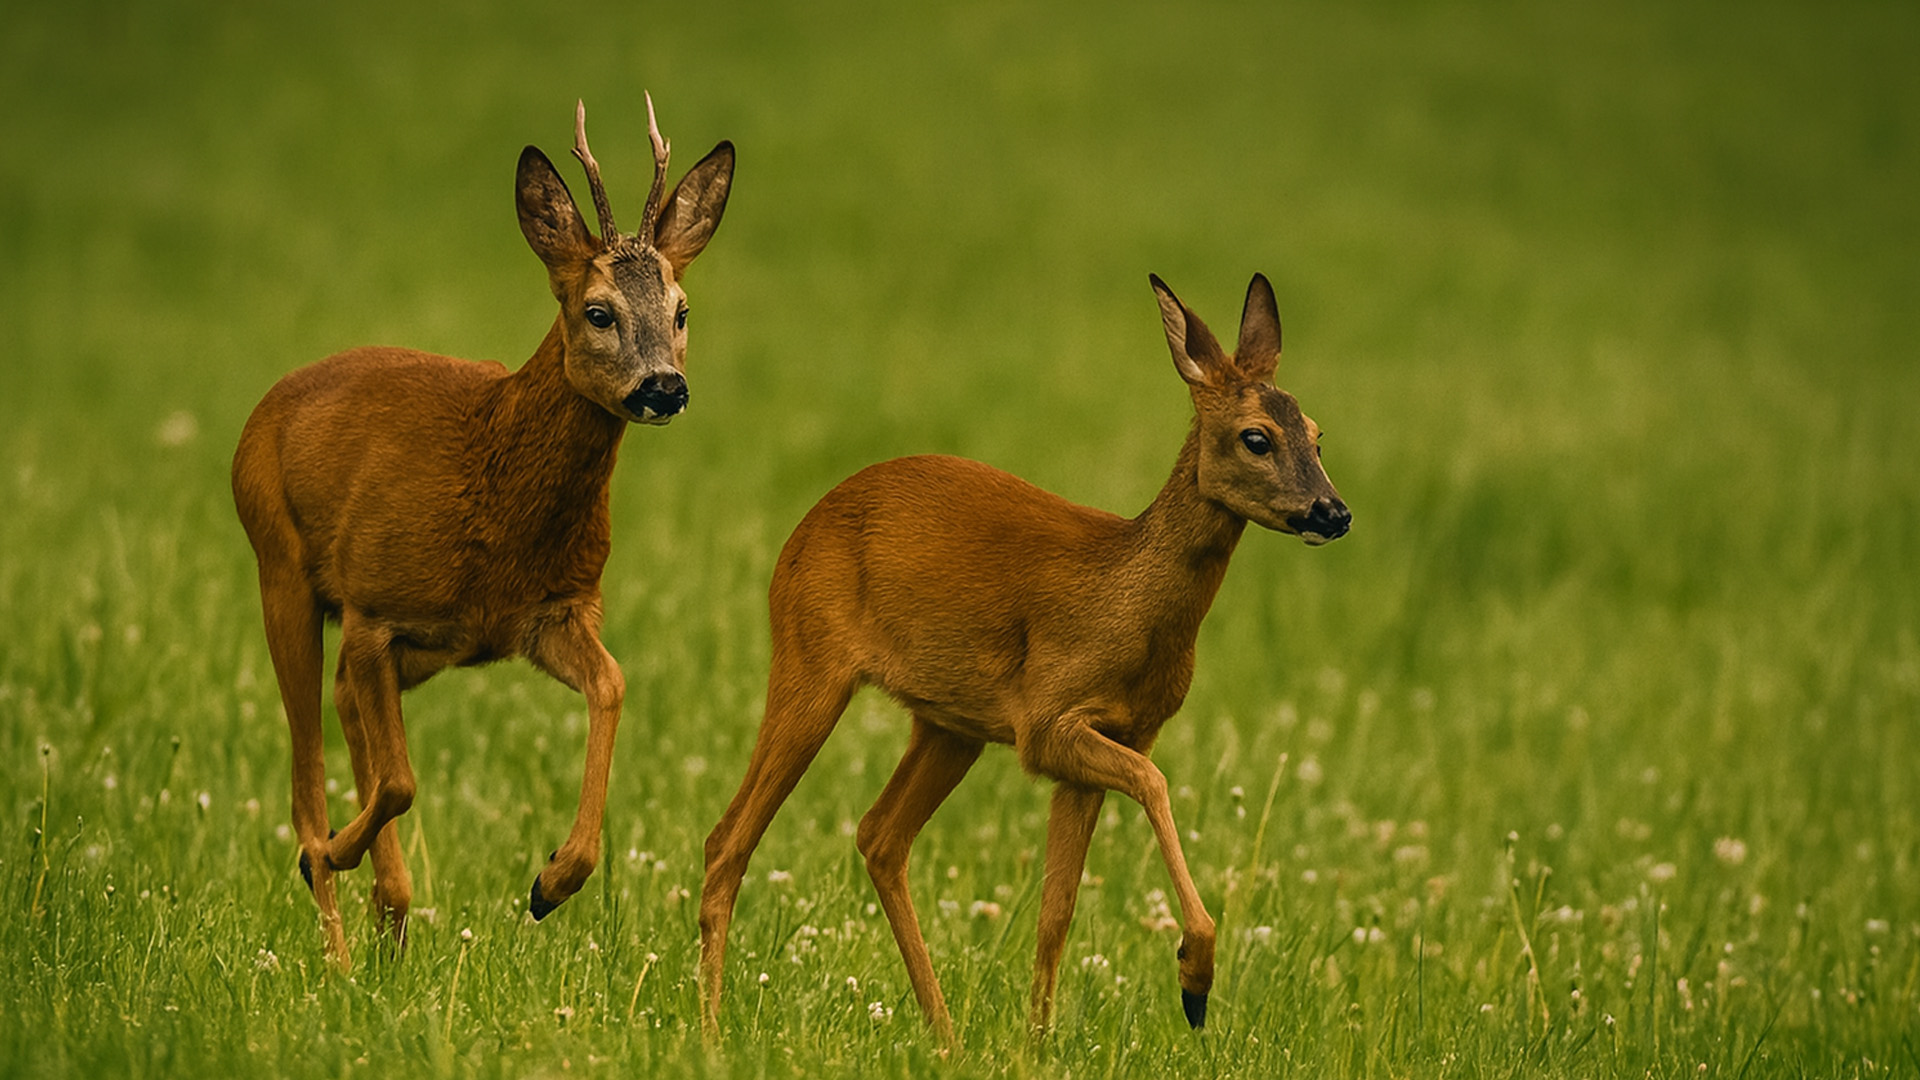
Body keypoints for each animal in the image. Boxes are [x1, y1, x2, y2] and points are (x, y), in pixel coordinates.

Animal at [231, 98, 733, 967]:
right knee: (306, 783)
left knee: (343, 716)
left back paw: (387, 917)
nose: (664, 387)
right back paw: (335, 927)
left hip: (411, 649)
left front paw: (551, 881)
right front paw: (340, 853)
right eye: (598, 312)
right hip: (281, 567)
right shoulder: (375, 608)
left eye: (681, 312)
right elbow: (399, 782)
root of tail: (260, 416)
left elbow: (613, 683)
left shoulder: (547, 614)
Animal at [697, 273, 1350, 1042]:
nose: (1334, 512)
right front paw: (1195, 978)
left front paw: (1036, 1045)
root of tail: (798, 535)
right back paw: (712, 1032)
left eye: (1317, 434)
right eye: (1256, 438)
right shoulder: (1047, 722)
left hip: (948, 724)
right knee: (728, 840)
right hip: (810, 657)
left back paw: (945, 1036)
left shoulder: (1118, 735)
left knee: (879, 836)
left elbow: (1056, 913)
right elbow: (1154, 785)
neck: (1126, 601)